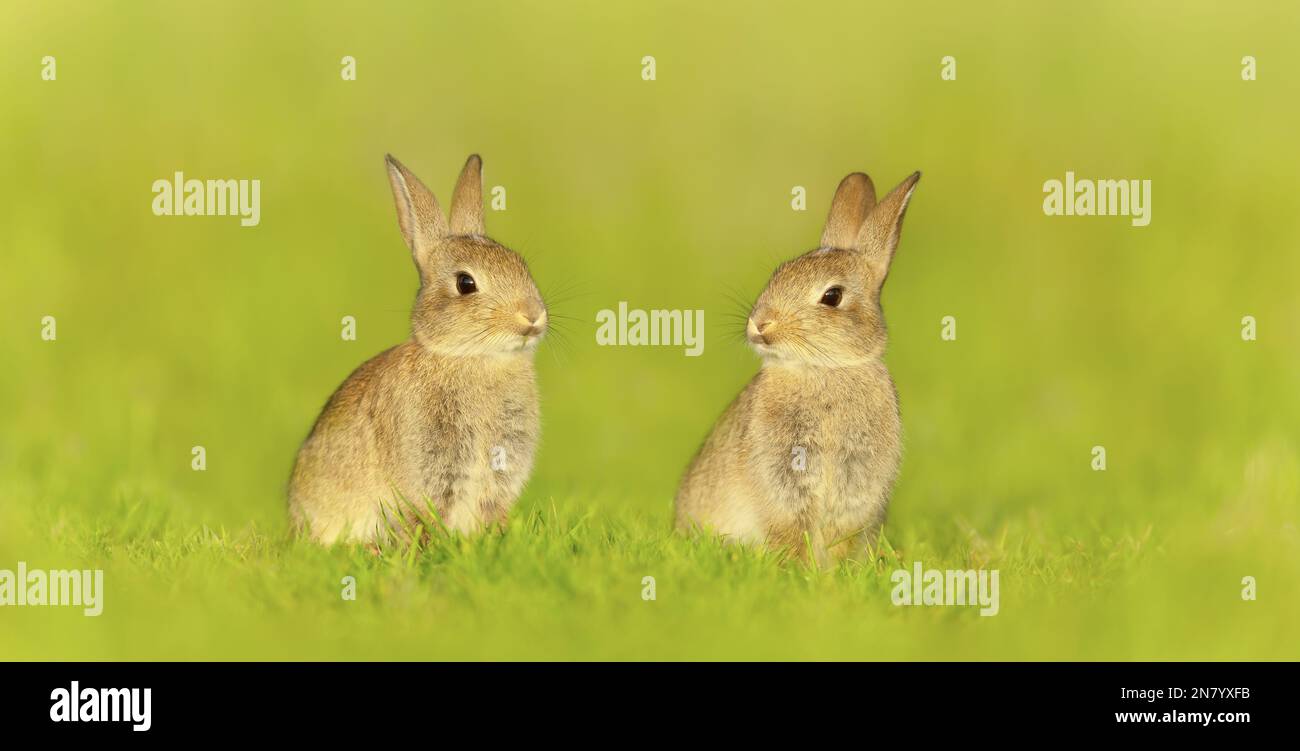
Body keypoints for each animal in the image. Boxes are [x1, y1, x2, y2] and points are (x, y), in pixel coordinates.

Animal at [675, 169, 921, 566]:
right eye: (779, 273)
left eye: (832, 296)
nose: (760, 324)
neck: (824, 368)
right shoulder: (781, 478)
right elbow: (791, 527)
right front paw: (802, 569)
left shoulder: (856, 482)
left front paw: (830, 571)